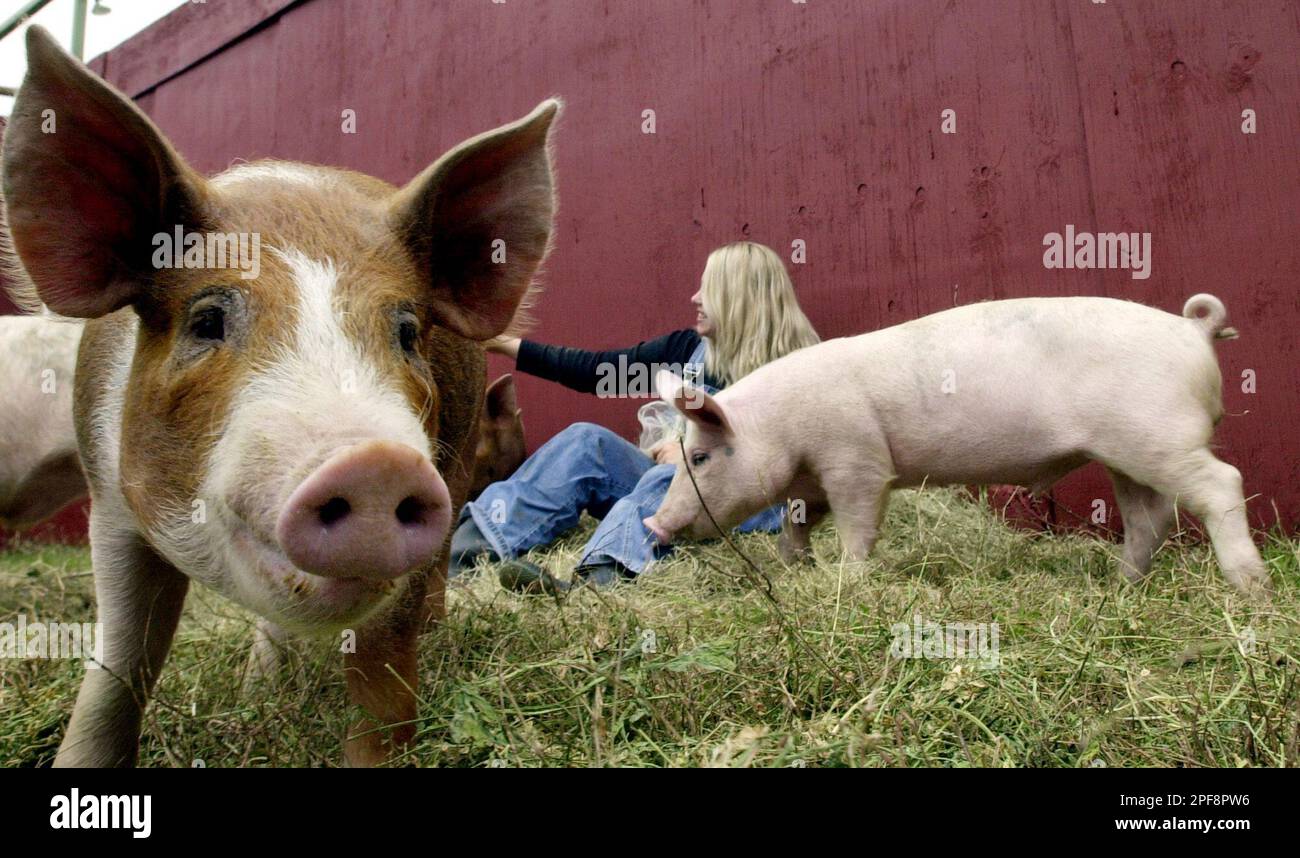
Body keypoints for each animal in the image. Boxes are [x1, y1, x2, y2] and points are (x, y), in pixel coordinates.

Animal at [645, 294, 1272, 600]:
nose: (655, 524)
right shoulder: (811, 481)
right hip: (1127, 455)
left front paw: (849, 578)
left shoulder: (855, 459)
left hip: (1160, 437)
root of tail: (1193, 330)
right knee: (1150, 519)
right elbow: (797, 523)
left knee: (1223, 483)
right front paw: (795, 565)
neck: (780, 427)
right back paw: (1122, 589)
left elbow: (856, 523)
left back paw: (1250, 592)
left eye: (700, 457)